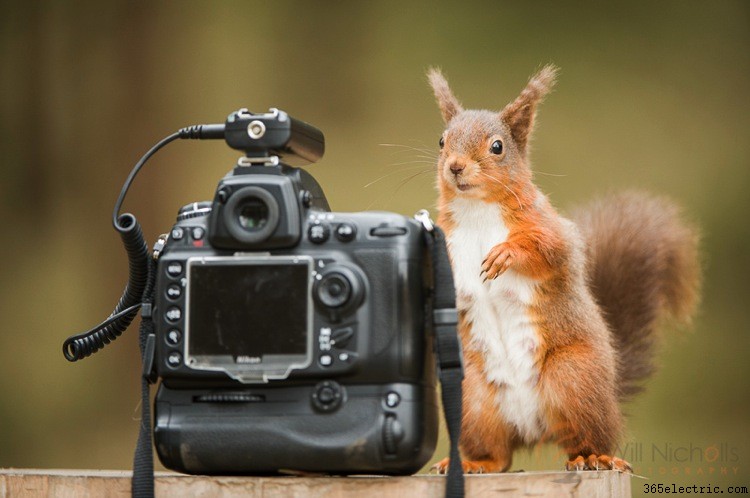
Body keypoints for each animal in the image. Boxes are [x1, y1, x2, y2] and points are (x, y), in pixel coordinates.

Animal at [428, 66, 704, 474]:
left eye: (497, 147)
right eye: (442, 140)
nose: (455, 167)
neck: (476, 210)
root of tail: (531, 429)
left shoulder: (550, 228)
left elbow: (549, 250)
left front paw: (506, 254)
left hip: (573, 378)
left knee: (587, 436)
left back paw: (593, 457)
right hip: (471, 396)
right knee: (500, 454)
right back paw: (473, 463)